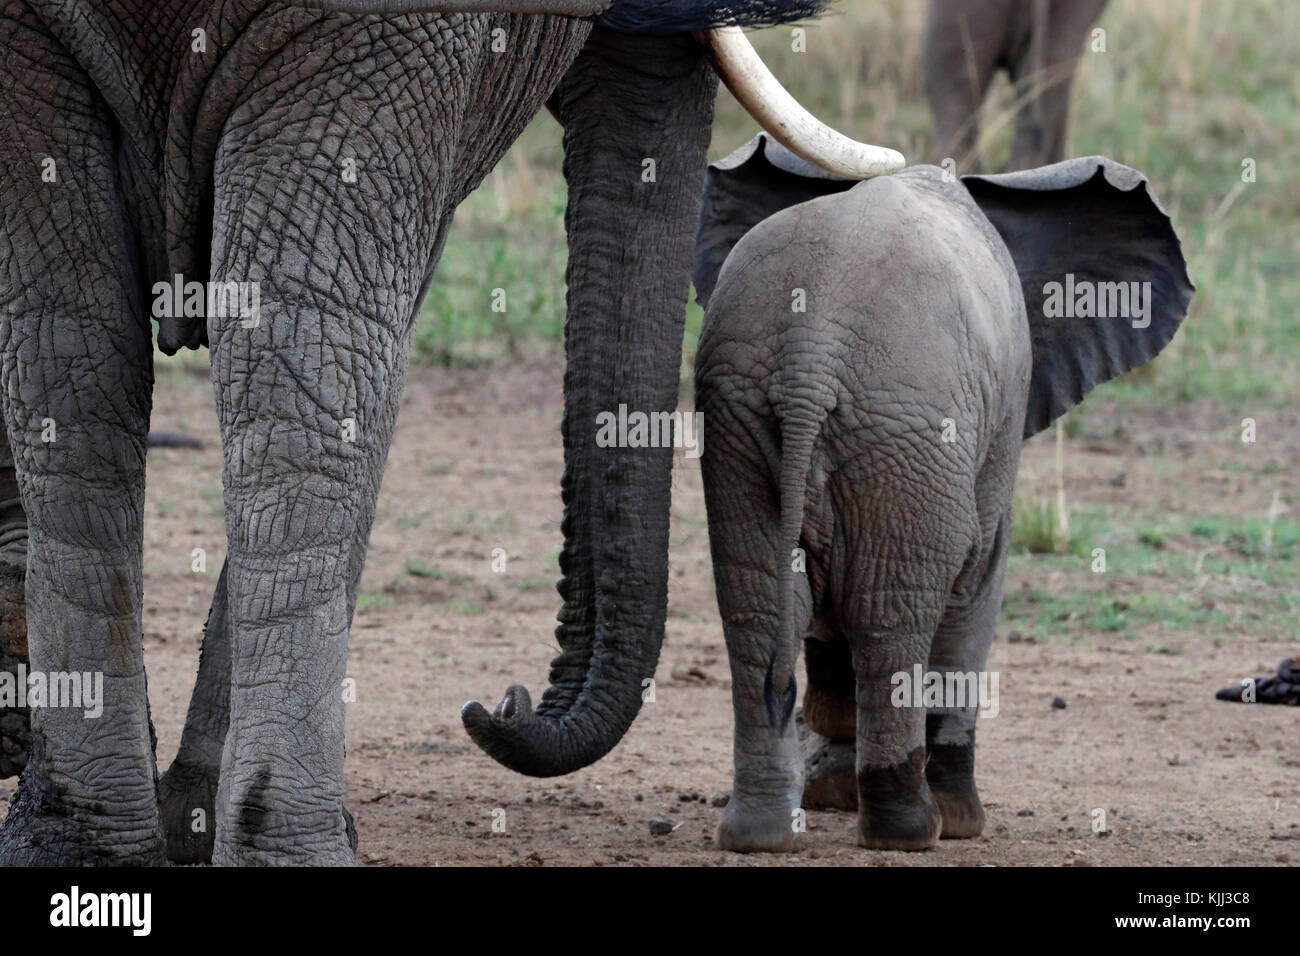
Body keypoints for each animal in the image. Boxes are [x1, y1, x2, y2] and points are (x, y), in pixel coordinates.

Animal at [691, 133, 1193, 851]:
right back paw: (914, 829)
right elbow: (978, 580)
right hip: (909, 432)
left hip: (748, 418)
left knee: (759, 601)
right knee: (894, 609)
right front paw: (960, 823)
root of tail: (813, 352)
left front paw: (829, 791)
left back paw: (761, 834)